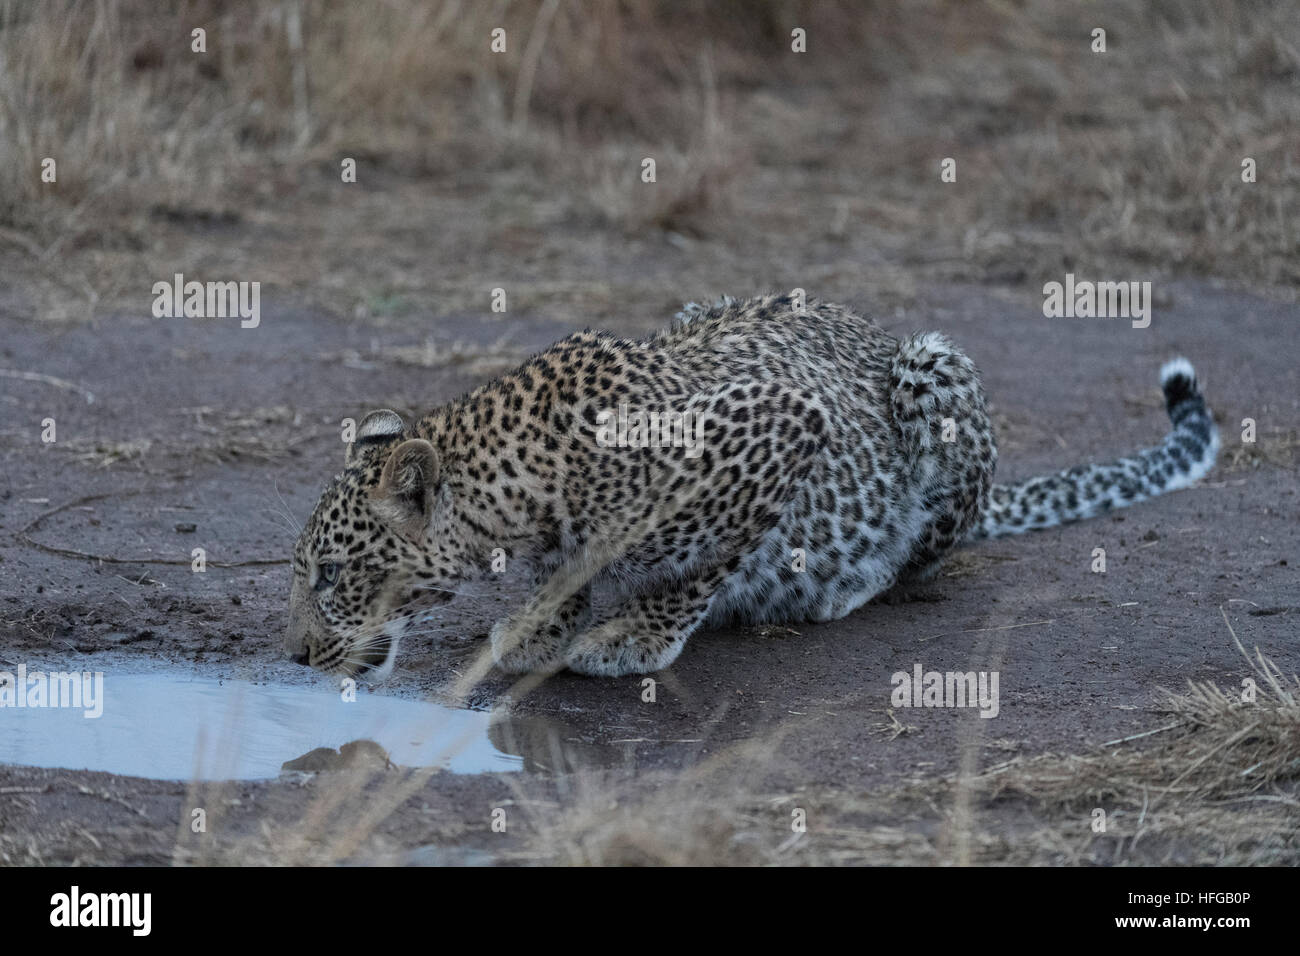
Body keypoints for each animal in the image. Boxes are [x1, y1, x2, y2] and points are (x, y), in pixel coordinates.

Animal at [285, 293, 1219, 680]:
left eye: (331, 575)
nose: (293, 655)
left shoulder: (779, 427)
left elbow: (702, 565)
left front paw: (634, 638)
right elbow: (566, 578)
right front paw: (544, 622)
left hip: (934, 370)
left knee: (920, 554)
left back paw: (843, 586)